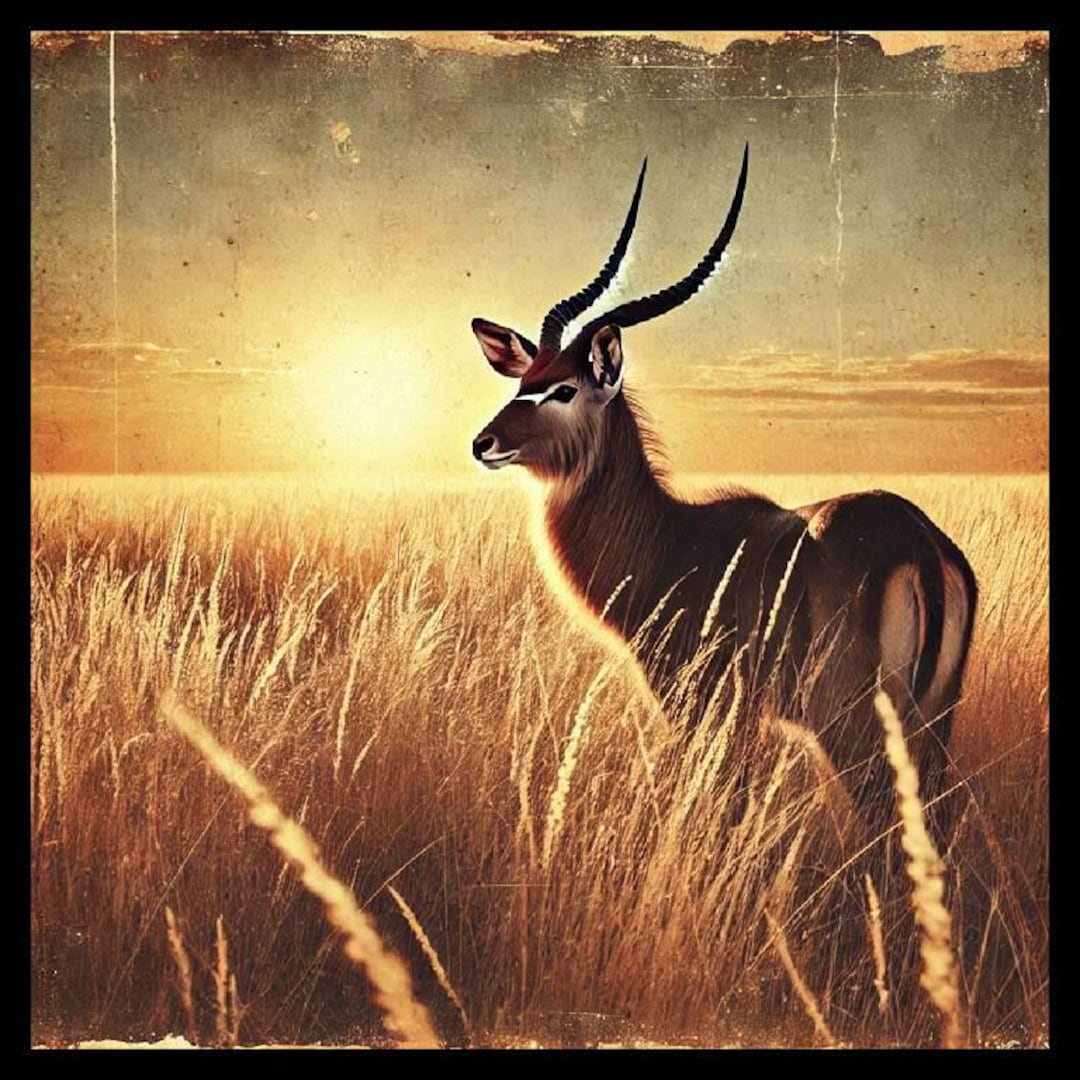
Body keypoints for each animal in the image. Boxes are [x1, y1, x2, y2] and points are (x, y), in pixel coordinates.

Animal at [470, 147, 977, 845]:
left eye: (565, 388)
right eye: (526, 379)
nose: (484, 442)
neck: (667, 542)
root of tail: (919, 543)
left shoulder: (708, 712)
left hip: (852, 729)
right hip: (935, 725)